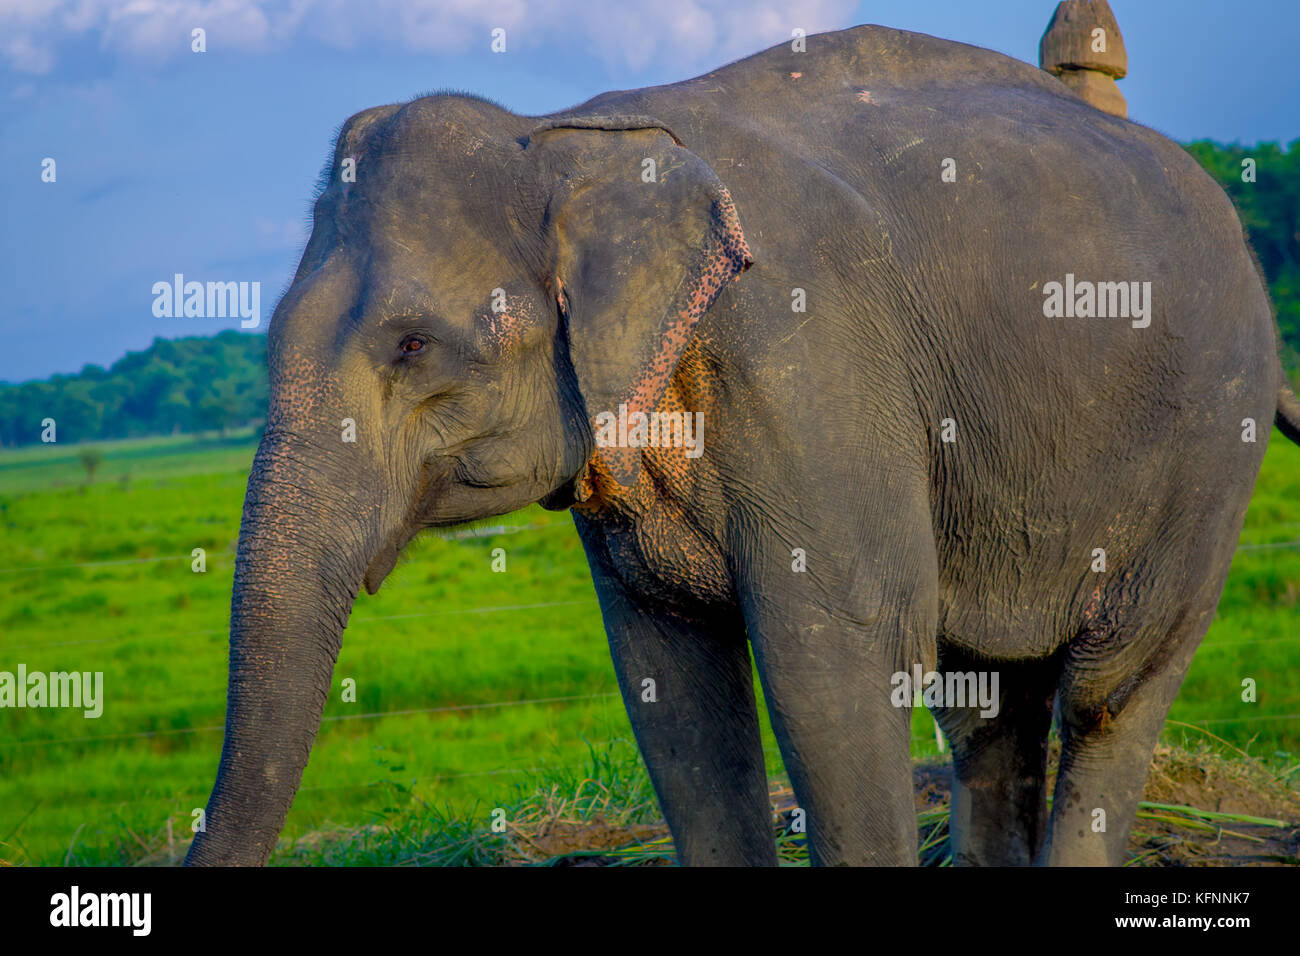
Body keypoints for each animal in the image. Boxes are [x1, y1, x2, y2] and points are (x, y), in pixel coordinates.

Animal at [186, 23, 1300, 866]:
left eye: (412, 345)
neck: (564, 133)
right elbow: (669, 679)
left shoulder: (809, 363)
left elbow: (840, 656)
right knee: (988, 696)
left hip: (1210, 447)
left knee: (1111, 690)